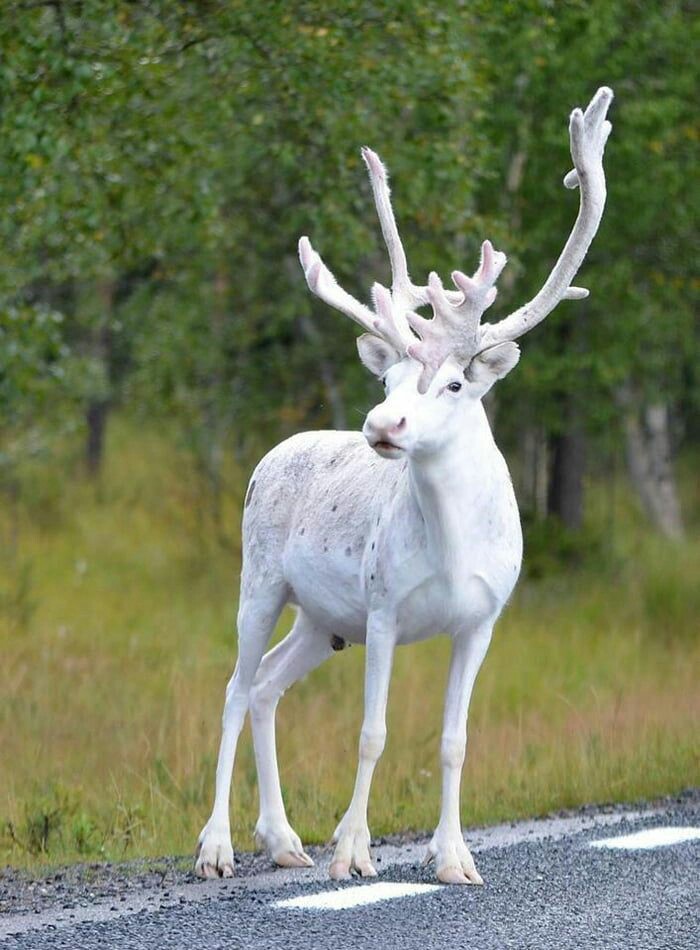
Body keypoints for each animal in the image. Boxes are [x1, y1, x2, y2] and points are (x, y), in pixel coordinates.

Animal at [195, 87, 613, 885]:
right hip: (259, 579)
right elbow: (372, 731)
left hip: (321, 620)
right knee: (232, 687)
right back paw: (218, 847)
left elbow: (454, 740)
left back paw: (283, 838)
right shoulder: (384, 608)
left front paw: (453, 857)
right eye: (386, 379)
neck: (451, 548)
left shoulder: (481, 620)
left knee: (265, 685)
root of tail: (268, 457)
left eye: (453, 383)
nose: (381, 423)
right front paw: (352, 852)